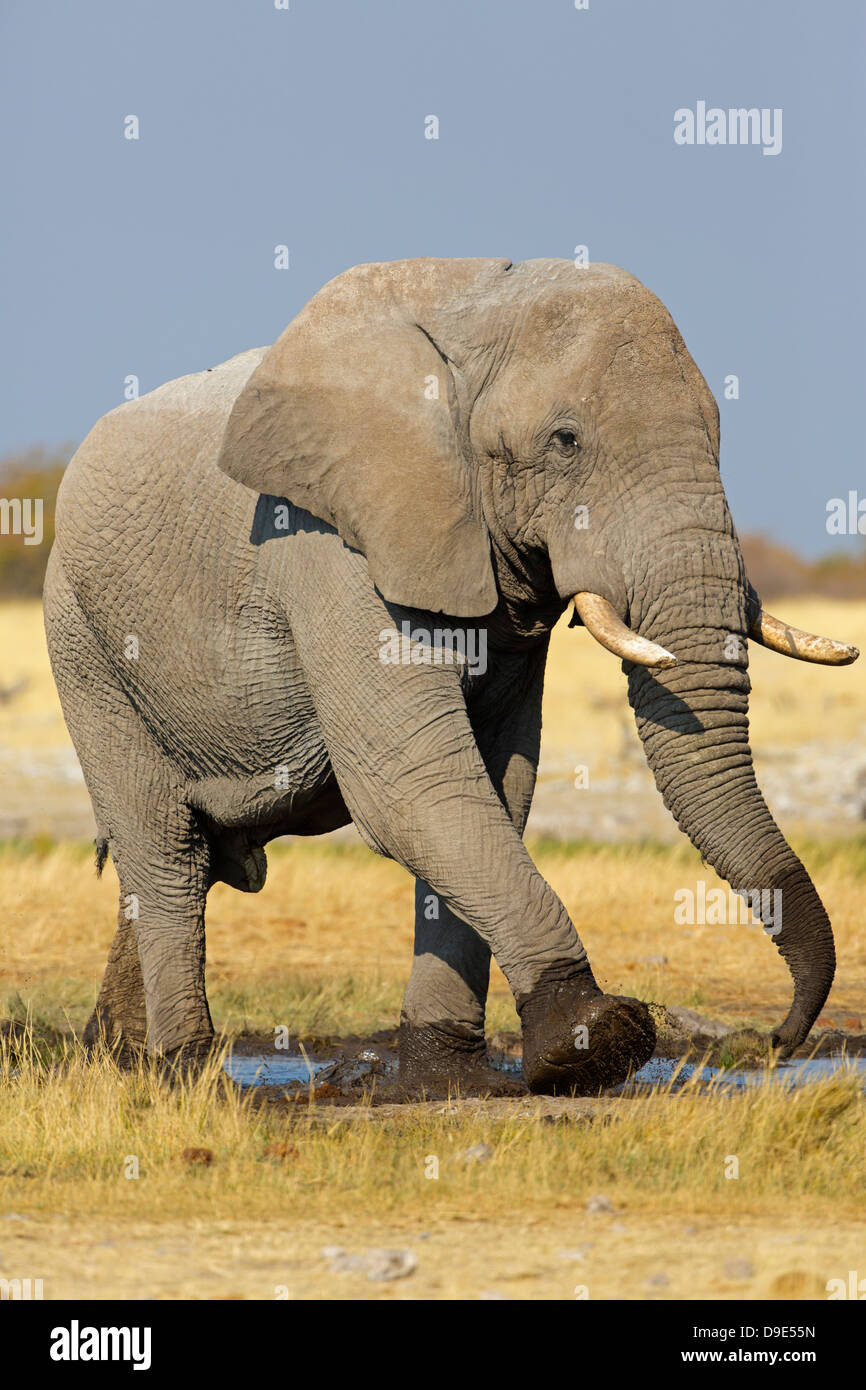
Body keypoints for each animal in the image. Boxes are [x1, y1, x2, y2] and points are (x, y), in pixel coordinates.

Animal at [43, 257, 858, 1096]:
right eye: (565, 441)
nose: (776, 1038)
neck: (475, 312)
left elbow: (497, 785)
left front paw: (447, 1075)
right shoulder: (335, 545)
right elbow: (414, 785)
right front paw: (594, 1040)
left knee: (179, 859)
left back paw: (118, 1055)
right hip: (84, 639)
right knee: (165, 850)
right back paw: (185, 1075)